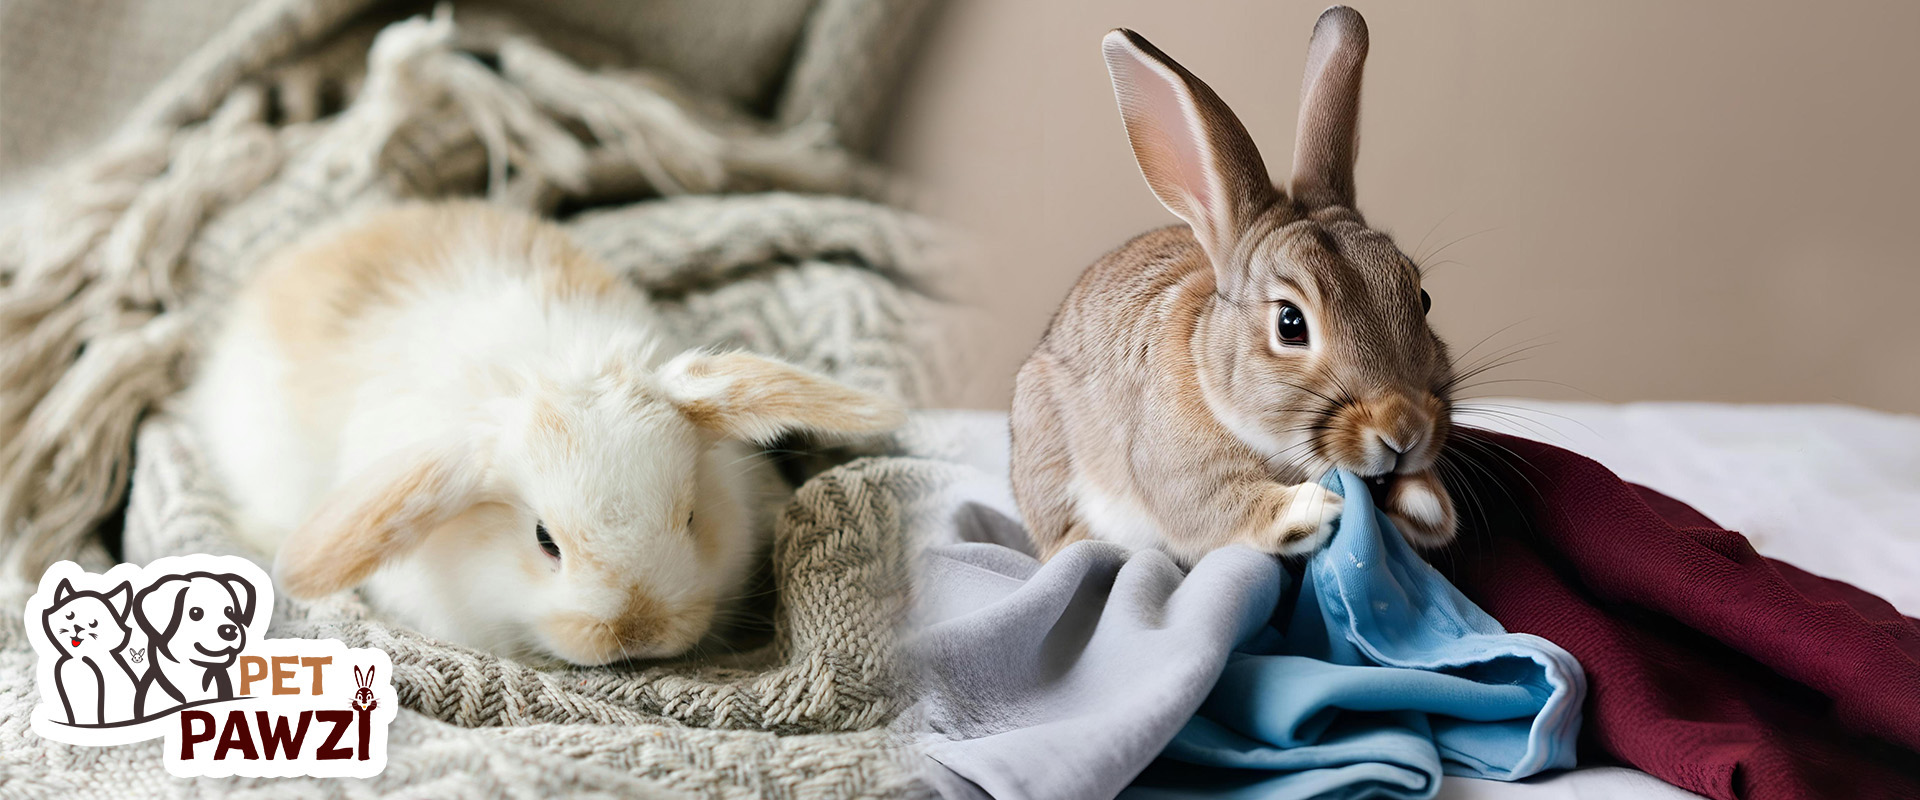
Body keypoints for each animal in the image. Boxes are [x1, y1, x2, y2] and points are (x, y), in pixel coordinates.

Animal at [1010, 7, 1457, 566]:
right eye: (1290, 324)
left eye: (1423, 299)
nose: (1404, 431)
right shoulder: (1180, 468)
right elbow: (1220, 505)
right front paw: (1309, 509)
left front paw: (1426, 501)